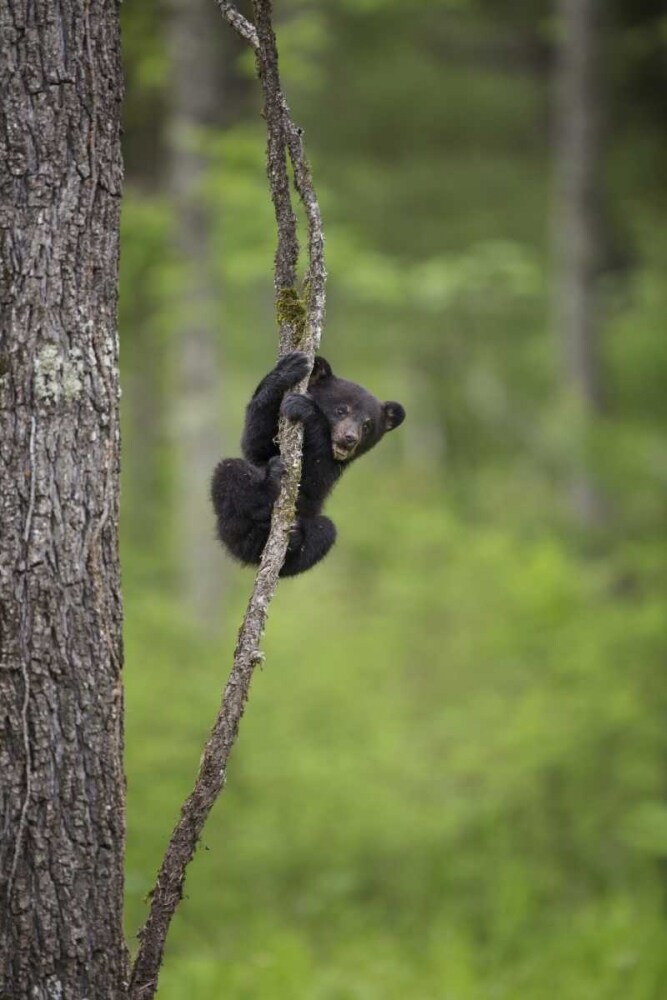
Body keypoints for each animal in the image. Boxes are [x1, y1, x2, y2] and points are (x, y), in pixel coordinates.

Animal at [211, 351, 405, 577]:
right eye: (341, 410)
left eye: (367, 425)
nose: (350, 438)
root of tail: (249, 553)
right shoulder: (265, 444)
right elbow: (255, 442)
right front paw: (287, 369)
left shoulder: (332, 468)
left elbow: (315, 478)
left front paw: (306, 408)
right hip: (231, 526)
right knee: (230, 470)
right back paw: (267, 488)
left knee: (325, 531)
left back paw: (294, 538)